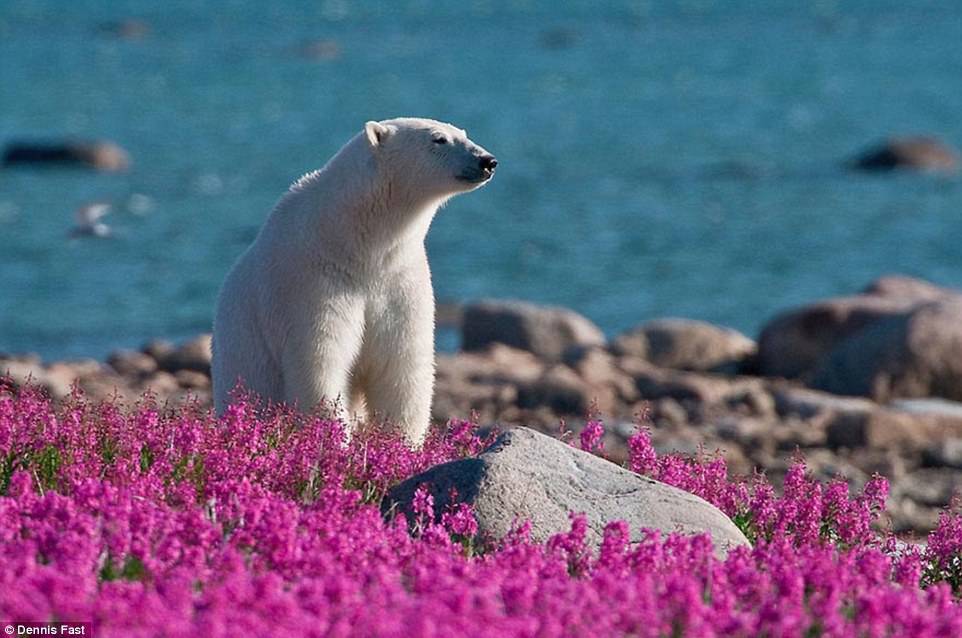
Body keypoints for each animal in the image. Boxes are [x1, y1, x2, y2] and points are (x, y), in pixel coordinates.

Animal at [211, 117, 497, 445]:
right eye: (438, 139)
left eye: (463, 133)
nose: (487, 161)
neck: (355, 244)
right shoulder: (312, 280)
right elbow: (321, 363)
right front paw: (335, 442)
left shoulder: (399, 279)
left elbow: (401, 365)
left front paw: (402, 444)